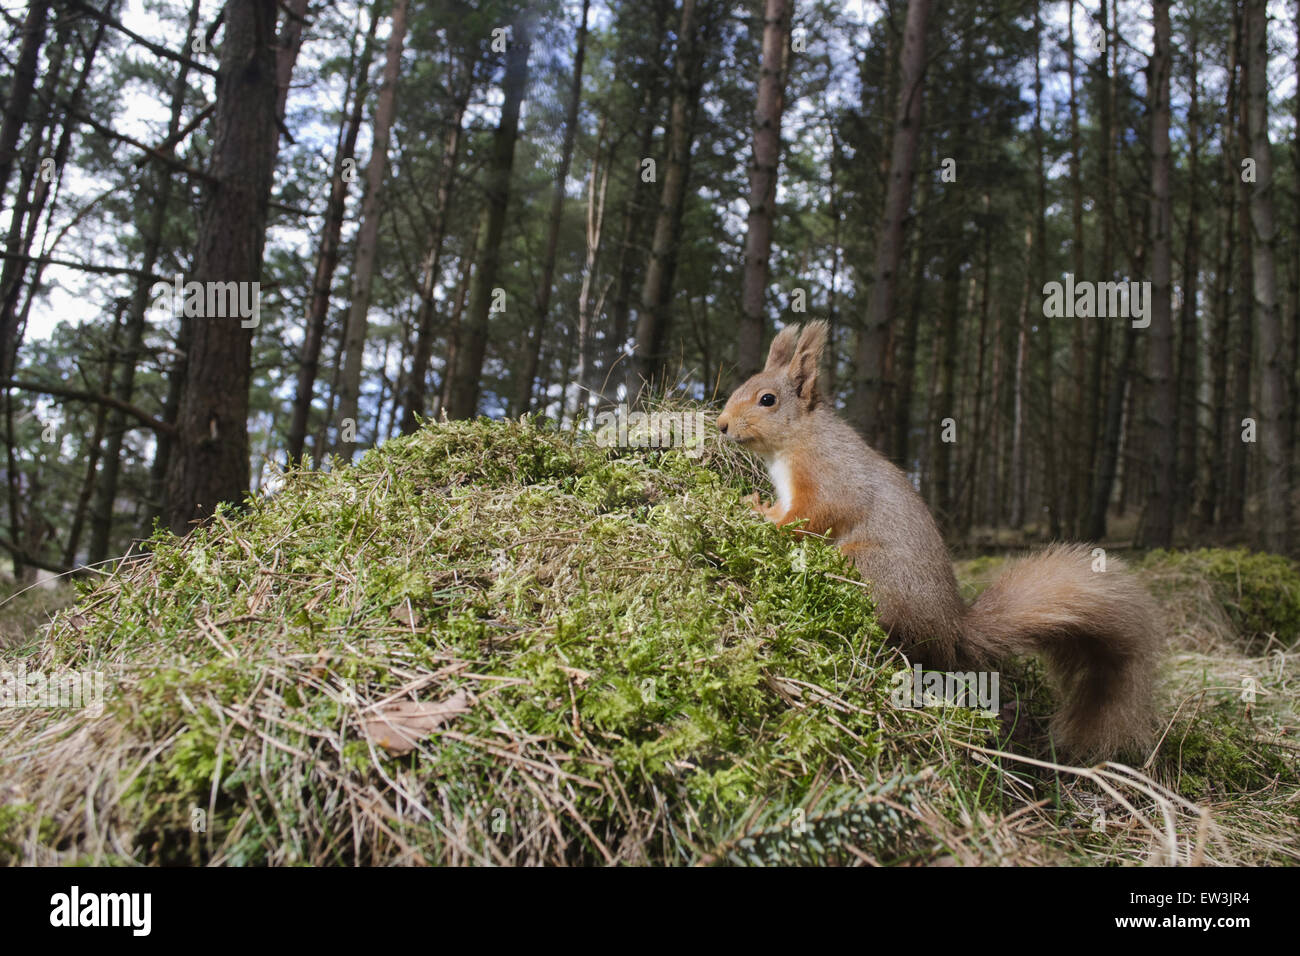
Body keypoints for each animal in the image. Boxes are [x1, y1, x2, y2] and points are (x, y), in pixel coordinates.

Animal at [716, 320, 1159, 761]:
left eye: (767, 399)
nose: (720, 424)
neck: (798, 436)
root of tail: (951, 626)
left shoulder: (829, 476)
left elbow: (815, 514)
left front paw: (766, 518)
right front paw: (759, 503)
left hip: (870, 569)